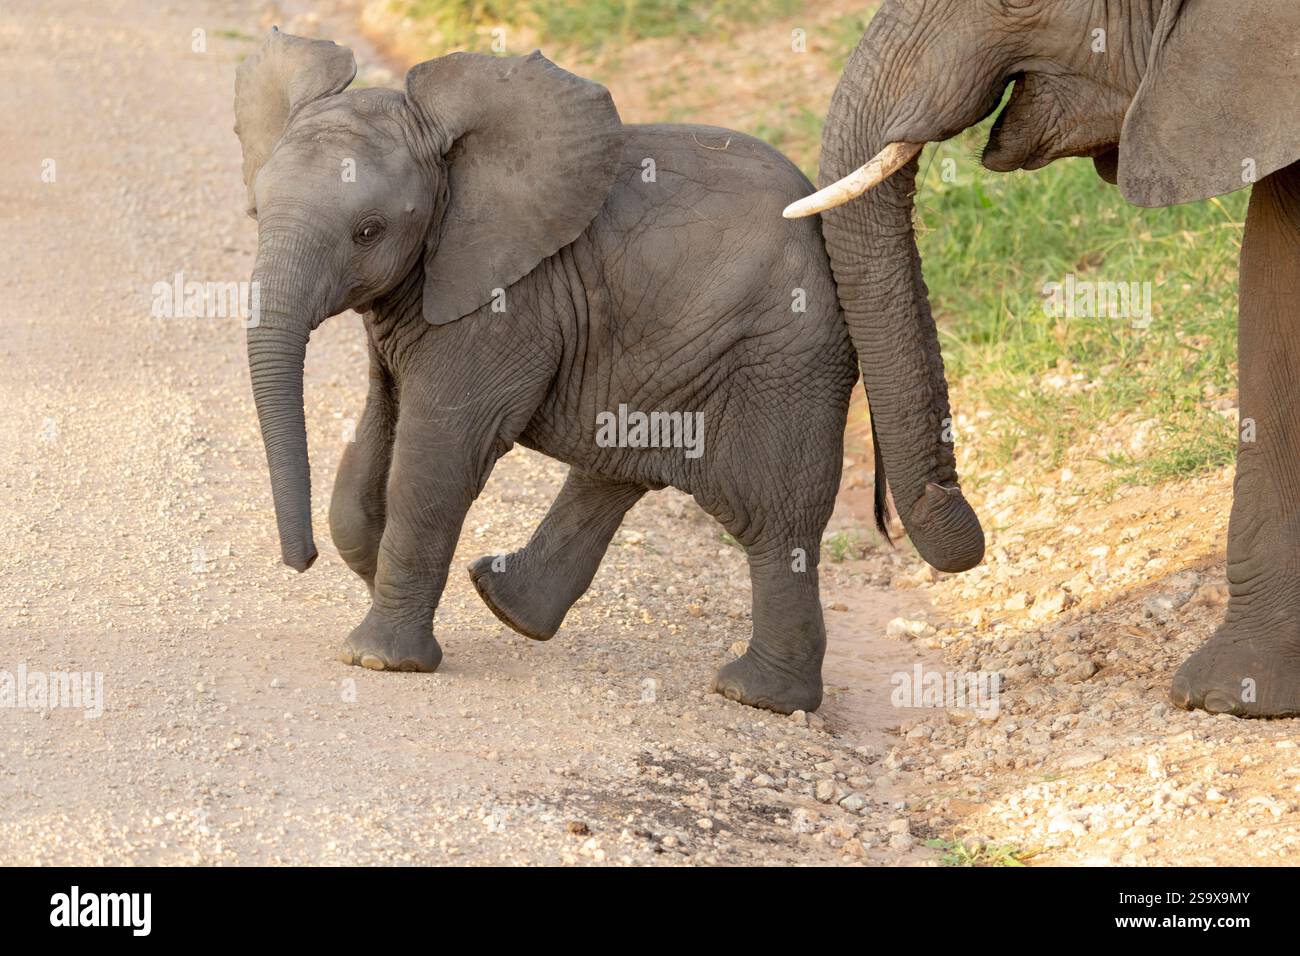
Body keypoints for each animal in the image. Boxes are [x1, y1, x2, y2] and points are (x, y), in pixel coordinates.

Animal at [233, 29, 859, 714]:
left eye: (368, 231)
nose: (300, 561)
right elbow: (376, 434)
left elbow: (436, 456)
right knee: (620, 466)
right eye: (256, 214)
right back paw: (505, 604)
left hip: (781, 355)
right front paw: (373, 570)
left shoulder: (509, 303)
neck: (452, 165)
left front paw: (379, 659)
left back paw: (757, 697)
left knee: (775, 519)